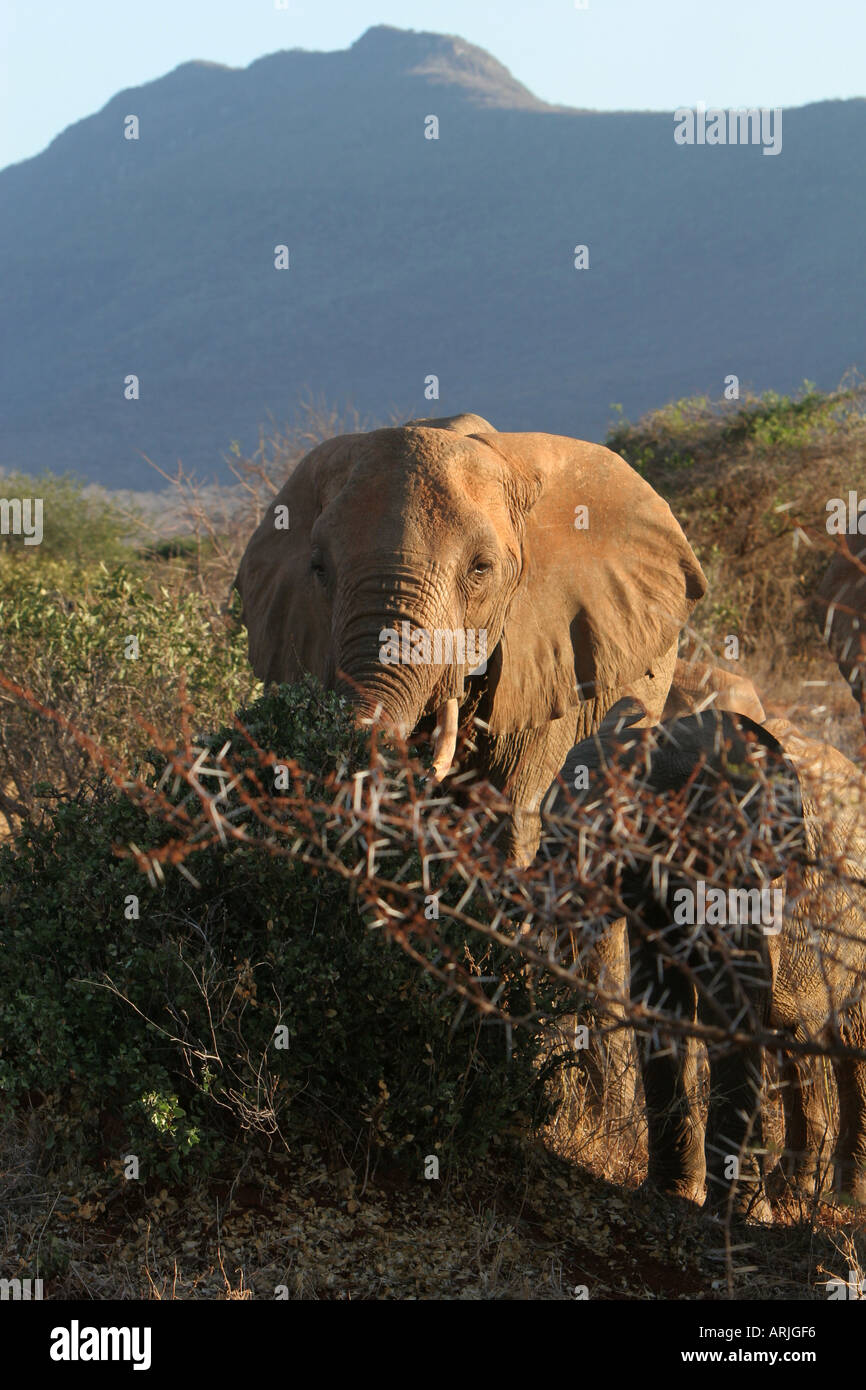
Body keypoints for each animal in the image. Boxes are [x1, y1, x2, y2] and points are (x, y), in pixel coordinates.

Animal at [540, 706, 866, 1218]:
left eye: (612, 831)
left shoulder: (743, 876)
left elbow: (731, 1005)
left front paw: (735, 1215)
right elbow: (659, 999)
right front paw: (669, 1193)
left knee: (848, 1040)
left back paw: (843, 1200)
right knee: (797, 1044)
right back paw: (792, 1197)